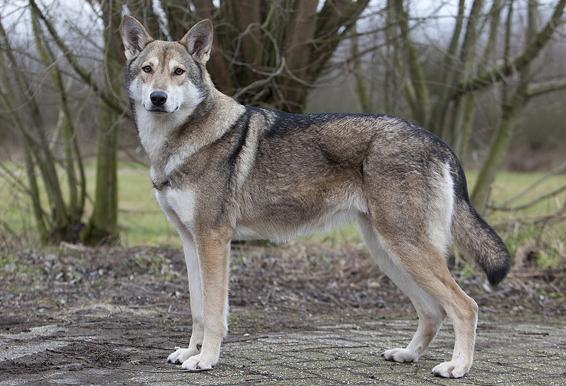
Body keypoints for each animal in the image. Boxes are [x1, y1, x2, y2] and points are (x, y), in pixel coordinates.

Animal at [122, 15, 512, 380]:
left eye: (178, 72)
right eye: (147, 70)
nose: (158, 98)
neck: (176, 143)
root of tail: (437, 141)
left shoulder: (214, 241)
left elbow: (215, 312)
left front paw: (206, 359)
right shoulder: (191, 241)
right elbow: (197, 309)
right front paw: (190, 352)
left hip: (405, 248)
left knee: (466, 306)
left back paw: (457, 366)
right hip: (388, 252)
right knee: (432, 310)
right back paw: (407, 354)